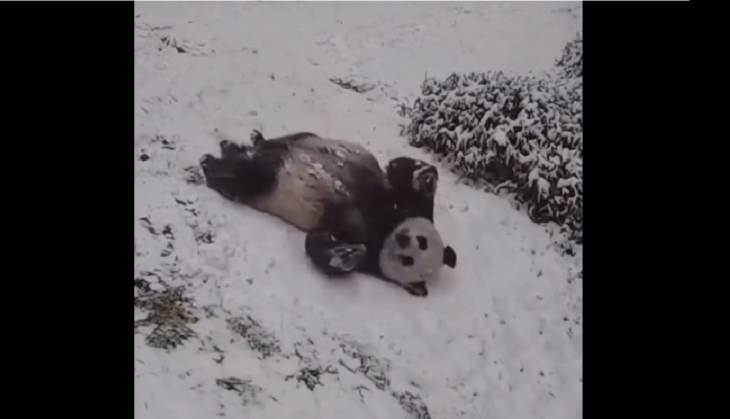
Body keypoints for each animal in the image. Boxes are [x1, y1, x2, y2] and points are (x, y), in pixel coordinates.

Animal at [199, 130, 457, 297]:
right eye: (422, 242)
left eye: (408, 260)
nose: (403, 239)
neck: (385, 231)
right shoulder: (403, 205)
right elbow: (401, 173)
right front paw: (424, 176)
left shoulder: (369, 254)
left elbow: (321, 245)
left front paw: (346, 254)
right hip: (305, 139)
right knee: (283, 142)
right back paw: (245, 143)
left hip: (265, 183)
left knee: (247, 176)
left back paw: (216, 165)